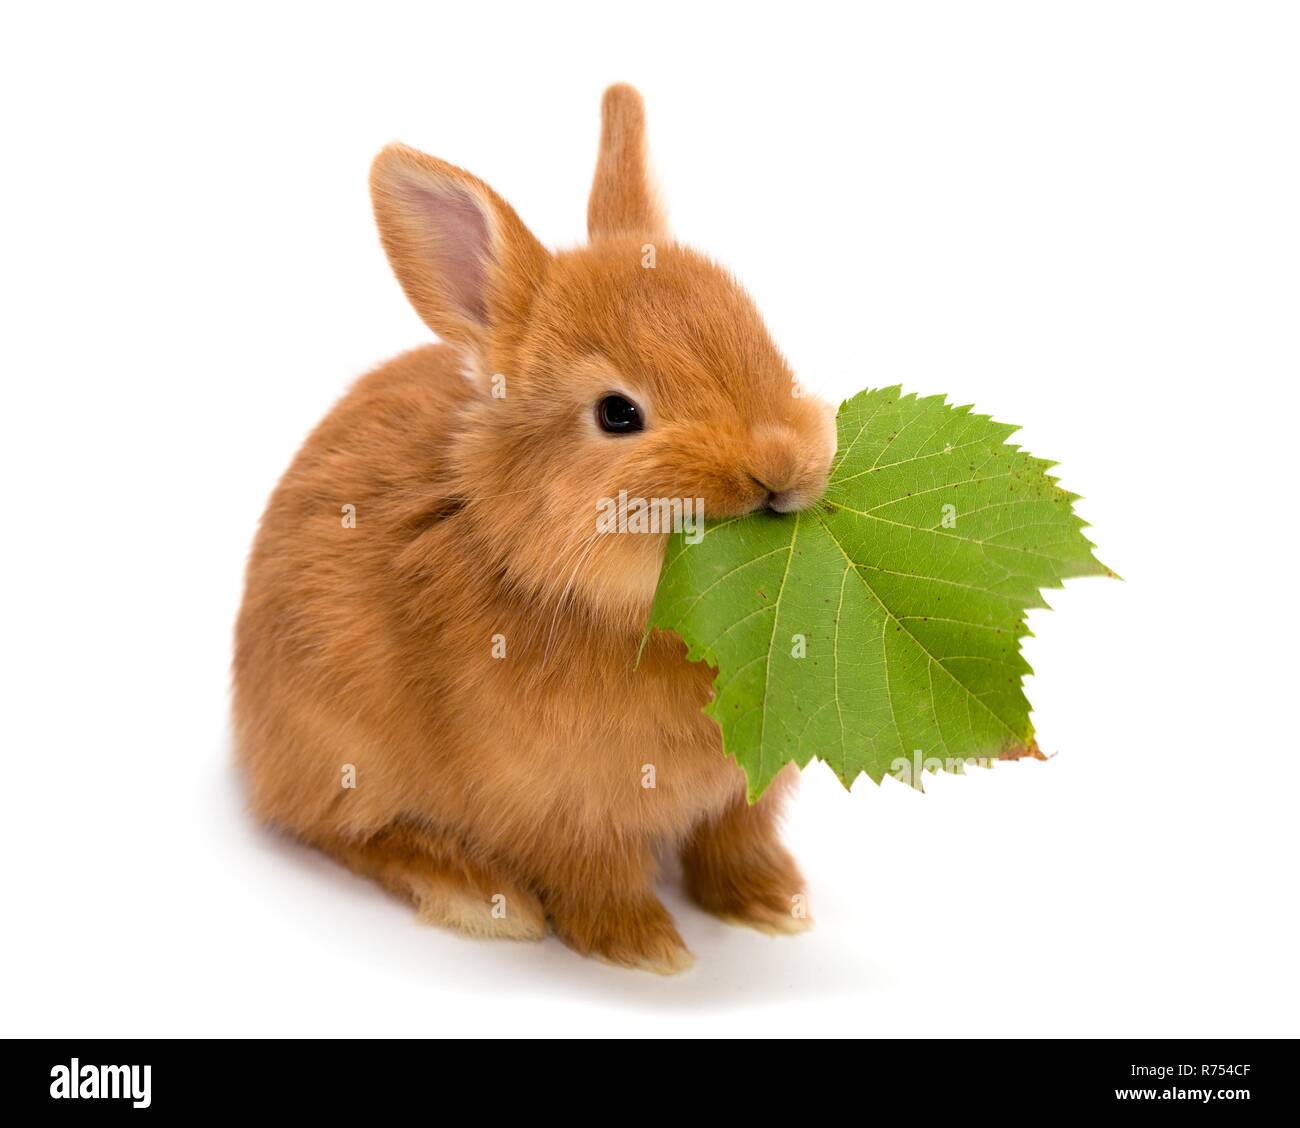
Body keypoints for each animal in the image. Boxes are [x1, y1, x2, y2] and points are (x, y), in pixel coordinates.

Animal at [233, 84, 836, 973]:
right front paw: (647, 948)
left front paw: (772, 904)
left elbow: (735, 842)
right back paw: (478, 897)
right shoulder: (561, 810)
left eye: (757, 336)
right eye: (617, 414)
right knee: (347, 832)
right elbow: (595, 877)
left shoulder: (745, 795)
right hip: (341, 748)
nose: (780, 466)